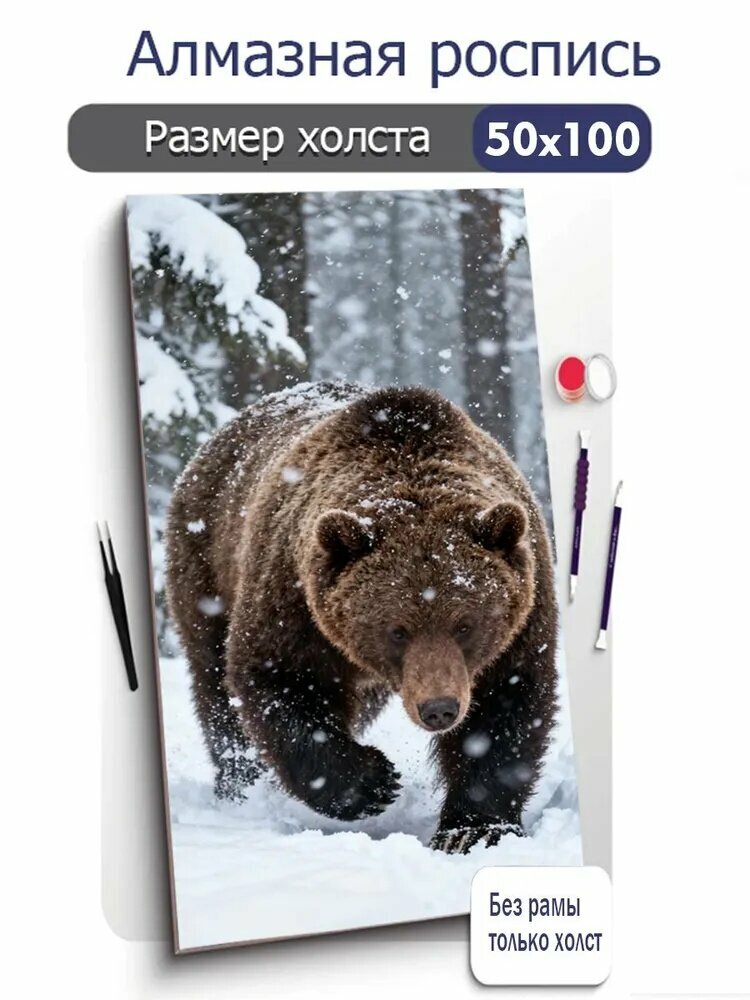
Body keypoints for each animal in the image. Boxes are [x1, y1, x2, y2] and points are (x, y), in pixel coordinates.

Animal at [165, 381, 558, 854]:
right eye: (397, 630)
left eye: (465, 624)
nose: (439, 709)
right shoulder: (293, 602)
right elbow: (279, 679)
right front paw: (373, 782)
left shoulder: (523, 621)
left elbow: (504, 711)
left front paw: (472, 829)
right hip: (206, 565)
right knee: (213, 680)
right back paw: (240, 783)